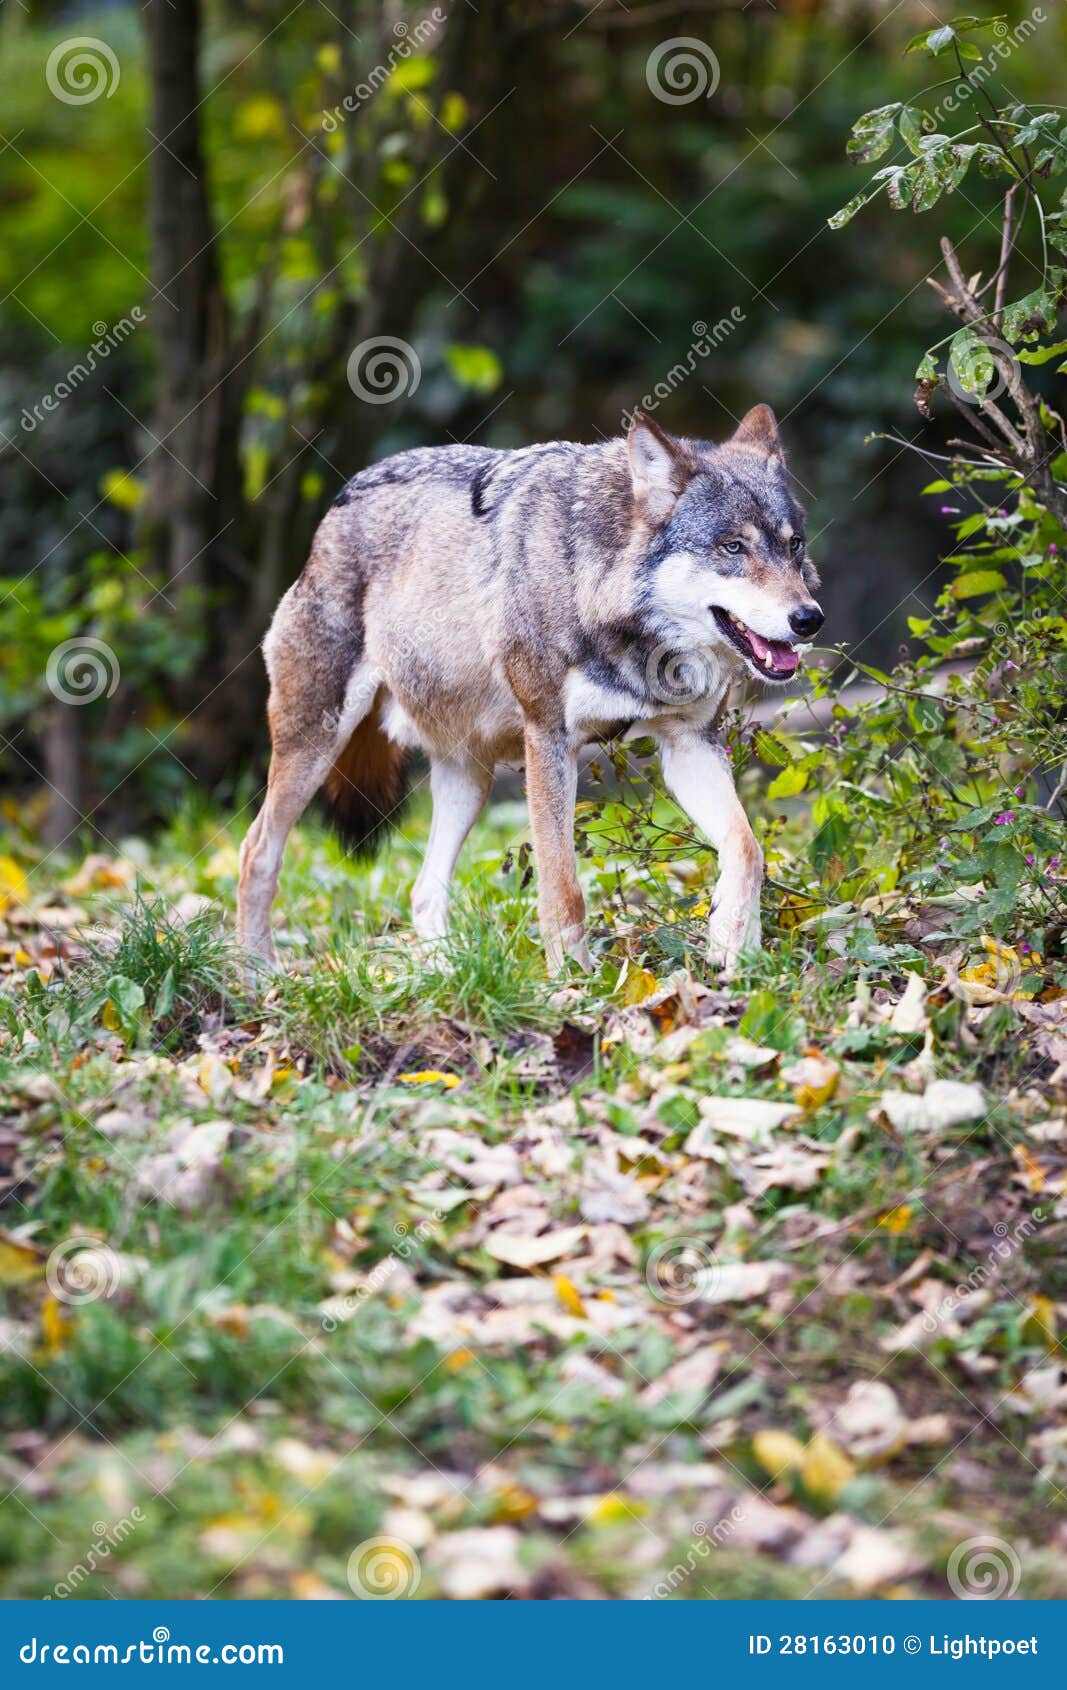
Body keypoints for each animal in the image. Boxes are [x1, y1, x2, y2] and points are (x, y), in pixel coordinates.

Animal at [236, 406, 822, 976]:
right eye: (733, 547)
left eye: (794, 545)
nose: (809, 619)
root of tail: (336, 508)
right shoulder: (548, 739)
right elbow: (563, 890)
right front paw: (573, 984)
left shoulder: (689, 745)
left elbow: (747, 848)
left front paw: (735, 947)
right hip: (315, 744)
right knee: (255, 851)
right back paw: (256, 976)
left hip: (467, 780)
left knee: (422, 891)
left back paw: (451, 977)